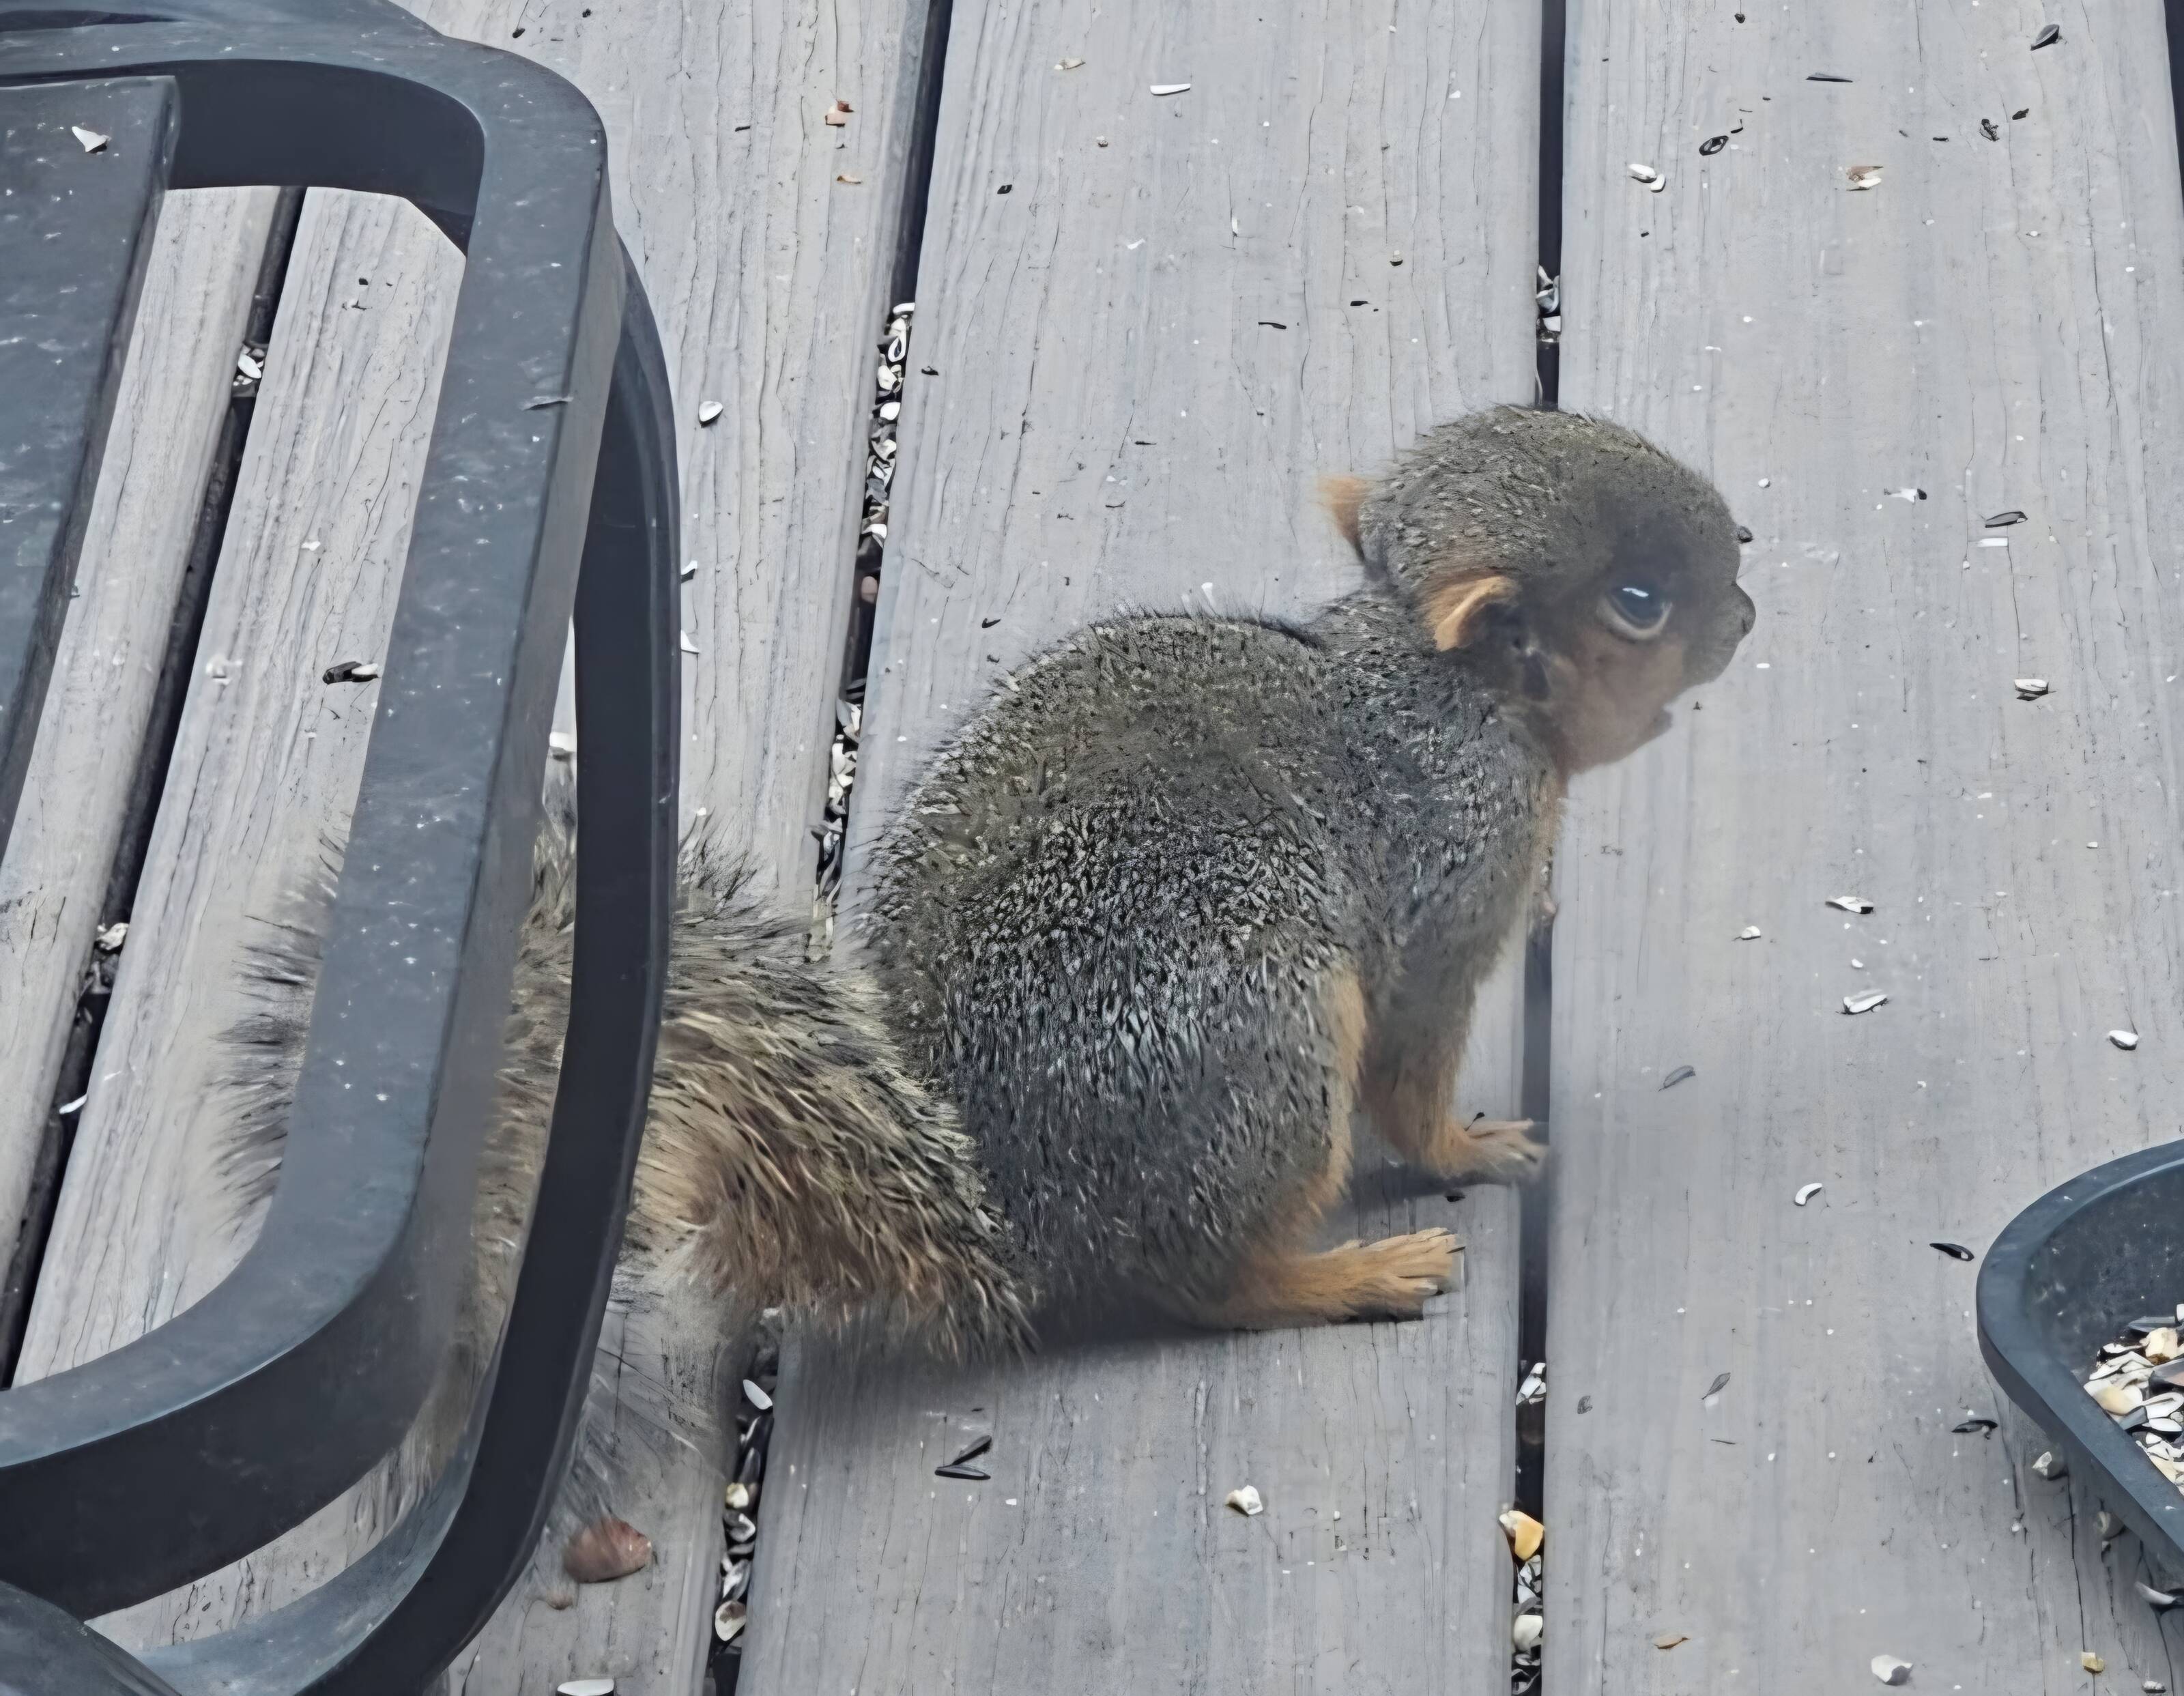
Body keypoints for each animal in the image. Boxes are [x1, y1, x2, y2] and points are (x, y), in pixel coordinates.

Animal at [217, 404, 1752, 1522]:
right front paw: (1477, 1145)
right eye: (1636, 599)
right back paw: (1351, 1273)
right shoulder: (1455, 883)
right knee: (1203, 1279)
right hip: (1262, 1046)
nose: (1744, 600)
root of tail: (1016, 1221)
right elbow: (1417, 1072)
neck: (1443, 691)